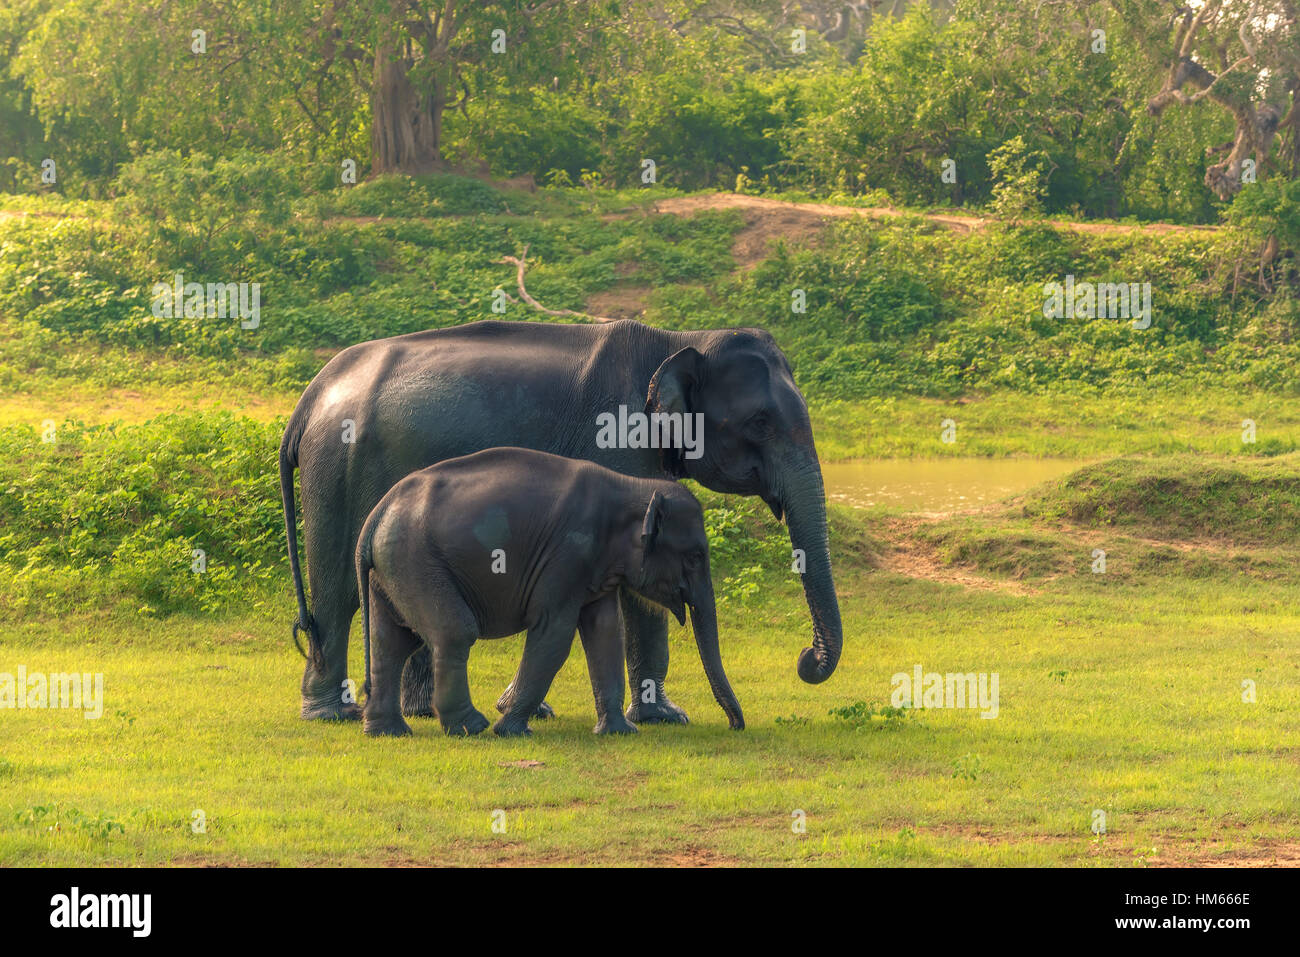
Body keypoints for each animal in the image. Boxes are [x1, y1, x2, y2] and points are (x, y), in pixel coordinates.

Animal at [356, 447, 744, 738]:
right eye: (695, 556)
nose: (734, 726)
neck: (631, 487)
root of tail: (375, 516)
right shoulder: (566, 556)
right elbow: (554, 635)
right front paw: (512, 731)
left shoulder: (595, 567)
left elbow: (605, 632)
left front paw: (619, 732)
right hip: (416, 560)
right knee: (454, 632)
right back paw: (473, 726)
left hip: (393, 567)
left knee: (392, 642)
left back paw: (388, 732)